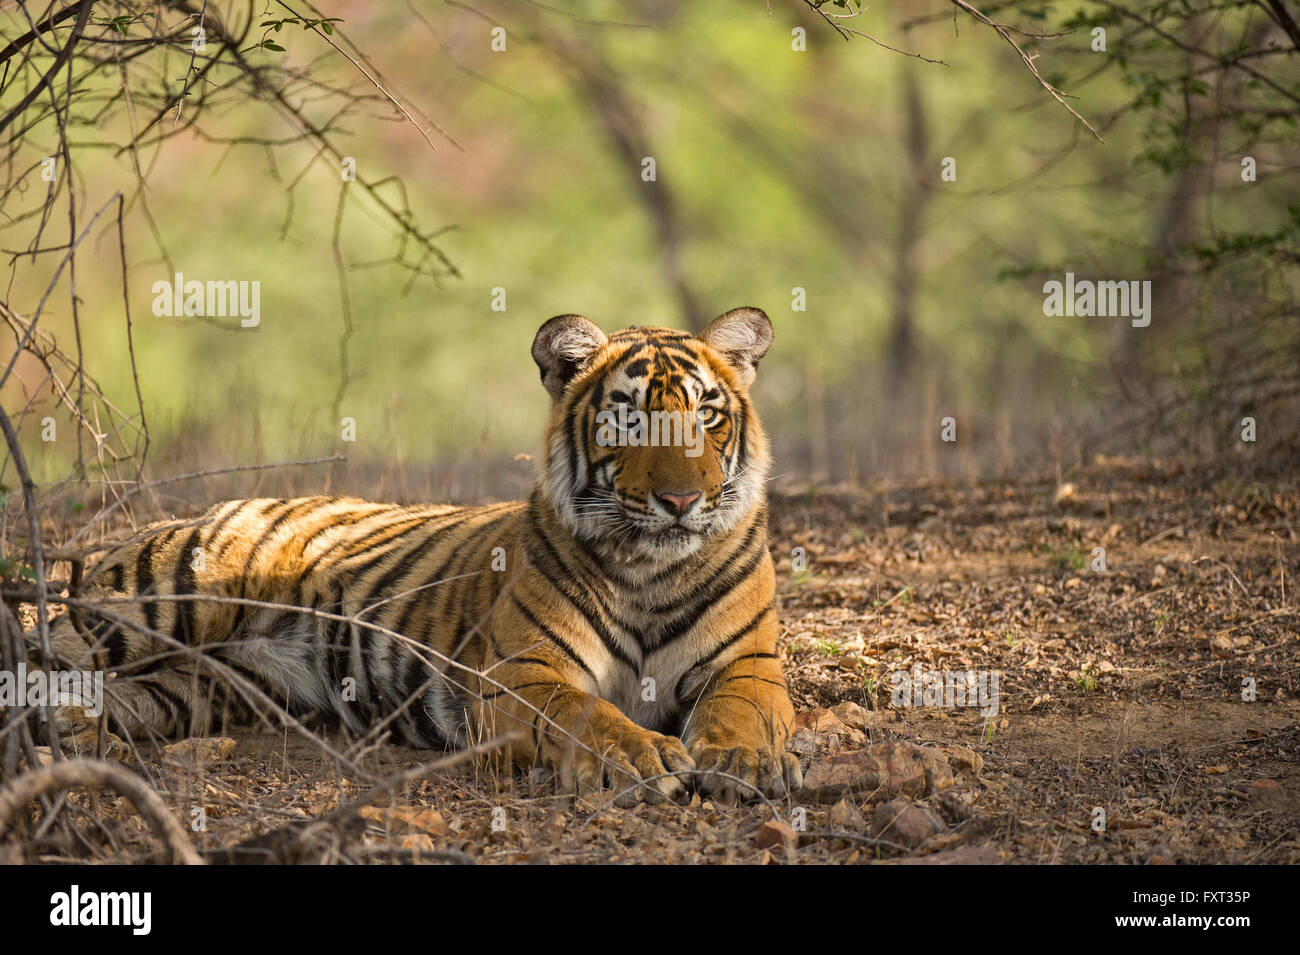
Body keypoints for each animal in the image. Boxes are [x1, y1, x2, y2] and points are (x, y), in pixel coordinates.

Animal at [33, 307, 801, 803]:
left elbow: (746, 711)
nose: (681, 500)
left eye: (707, 414)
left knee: (106, 697)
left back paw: (73, 732)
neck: (650, 569)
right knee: (44, 649)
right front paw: (644, 757)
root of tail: (221, 507)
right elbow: (588, 714)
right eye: (631, 419)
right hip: (154, 605)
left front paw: (748, 762)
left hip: (203, 686)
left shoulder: (748, 660)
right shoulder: (521, 672)